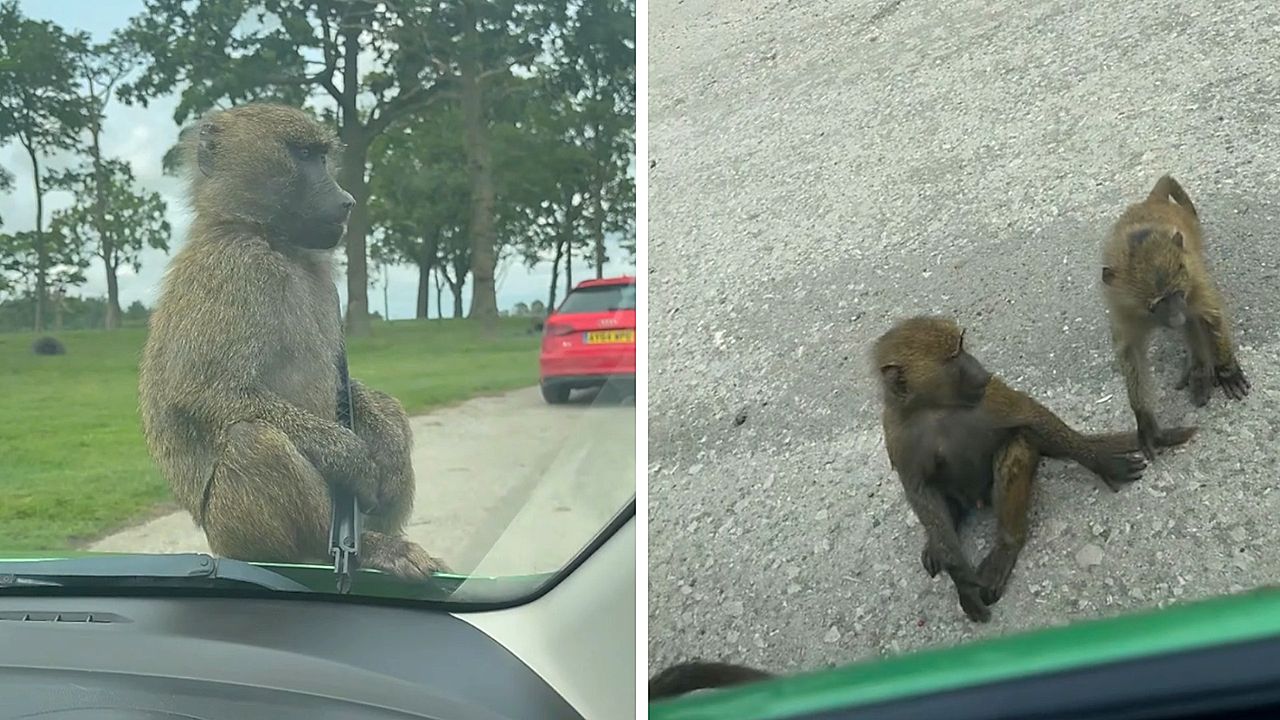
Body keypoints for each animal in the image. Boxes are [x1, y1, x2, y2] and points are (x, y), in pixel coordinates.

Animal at [138, 103, 448, 581]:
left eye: (322, 155)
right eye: (302, 154)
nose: (347, 200)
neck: (274, 242)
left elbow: (349, 388)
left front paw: (388, 447)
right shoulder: (237, 269)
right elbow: (202, 392)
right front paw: (354, 460)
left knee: (385, 410)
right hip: (233, 532)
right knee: (253, 441)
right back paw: (356, 549)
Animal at [873, 316, 1195, 622]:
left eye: (962, 347)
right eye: (954, 357)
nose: (980, 369)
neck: (935, 410)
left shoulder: (989, 397)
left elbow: (1031, 417)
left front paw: (1099, 459)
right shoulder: (898, 435)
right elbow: (920, 490)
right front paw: (962, 581)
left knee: (1018, 445)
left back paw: (1007, 545)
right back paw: (938, 545)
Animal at [1102, 174, 1249, 460]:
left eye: (1176, 294)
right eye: (1158, 303)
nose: (1176, 318)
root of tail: (1151, 200)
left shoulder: (1192, 279)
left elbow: (1211, 316)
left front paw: (1227, 370)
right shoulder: (1124, 308)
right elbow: (1130, 353)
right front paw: (1144, 418)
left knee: (1197, 319)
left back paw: (1201, 367)